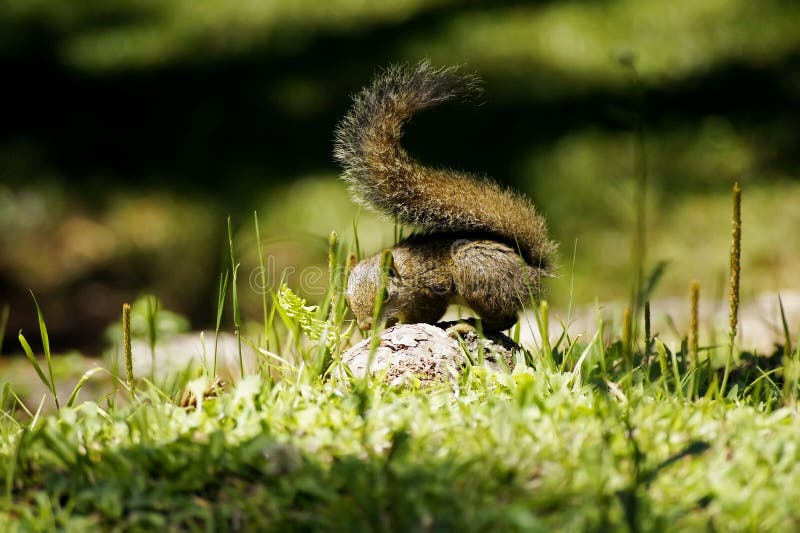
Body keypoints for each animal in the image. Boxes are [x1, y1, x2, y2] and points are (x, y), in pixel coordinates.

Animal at [334, 61, 556, 332]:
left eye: (385, 294)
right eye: (346, 299)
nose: (365, 326)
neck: (405, 273)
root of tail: (533, 272)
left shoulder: (430, 291)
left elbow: (425, 315)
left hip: (475, 271)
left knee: (506, 319)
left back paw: (467, 326)